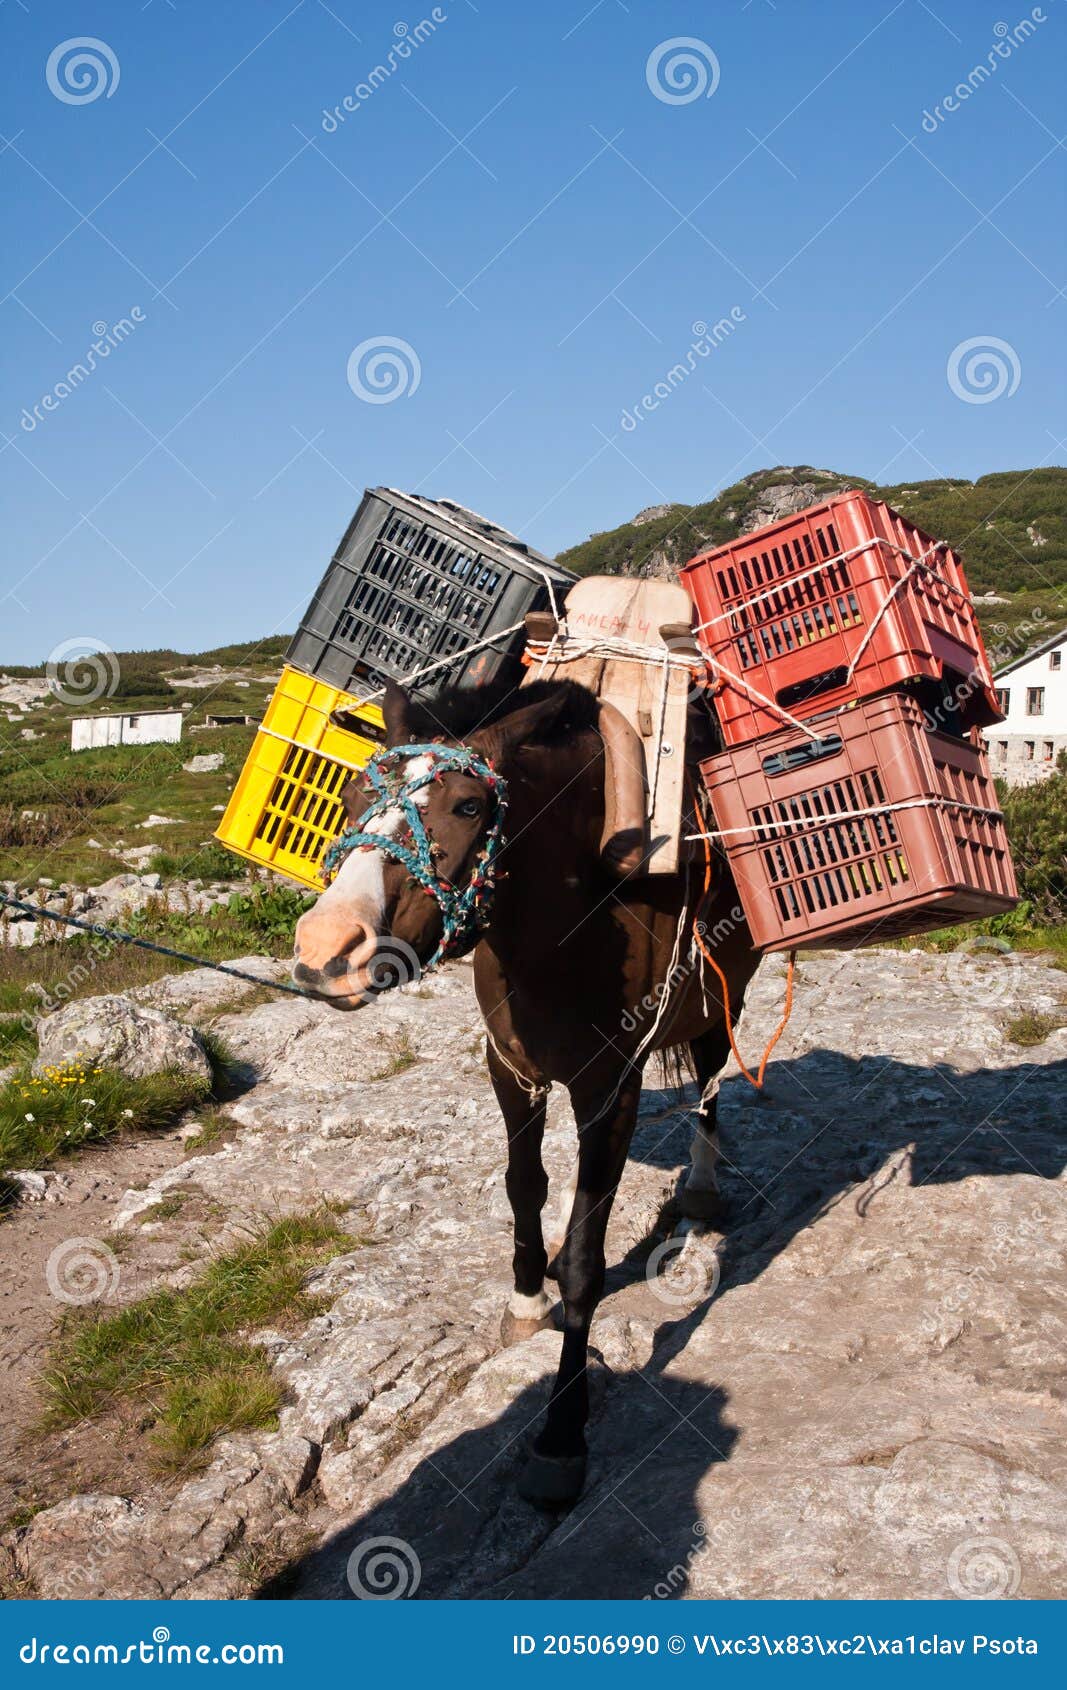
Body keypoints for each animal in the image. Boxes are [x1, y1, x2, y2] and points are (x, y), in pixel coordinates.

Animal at [292, 676, 760, 1506]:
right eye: (350, 793)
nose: (326, 951)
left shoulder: (610, 1087)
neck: (568, 920)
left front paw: (560, 1437)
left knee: (709, 1079)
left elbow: (584, 1260)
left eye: (468, 806)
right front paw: (522, 1301)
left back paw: (701, 1190)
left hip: (721, 995)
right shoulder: (510, 1069)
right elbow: (523, 1187)